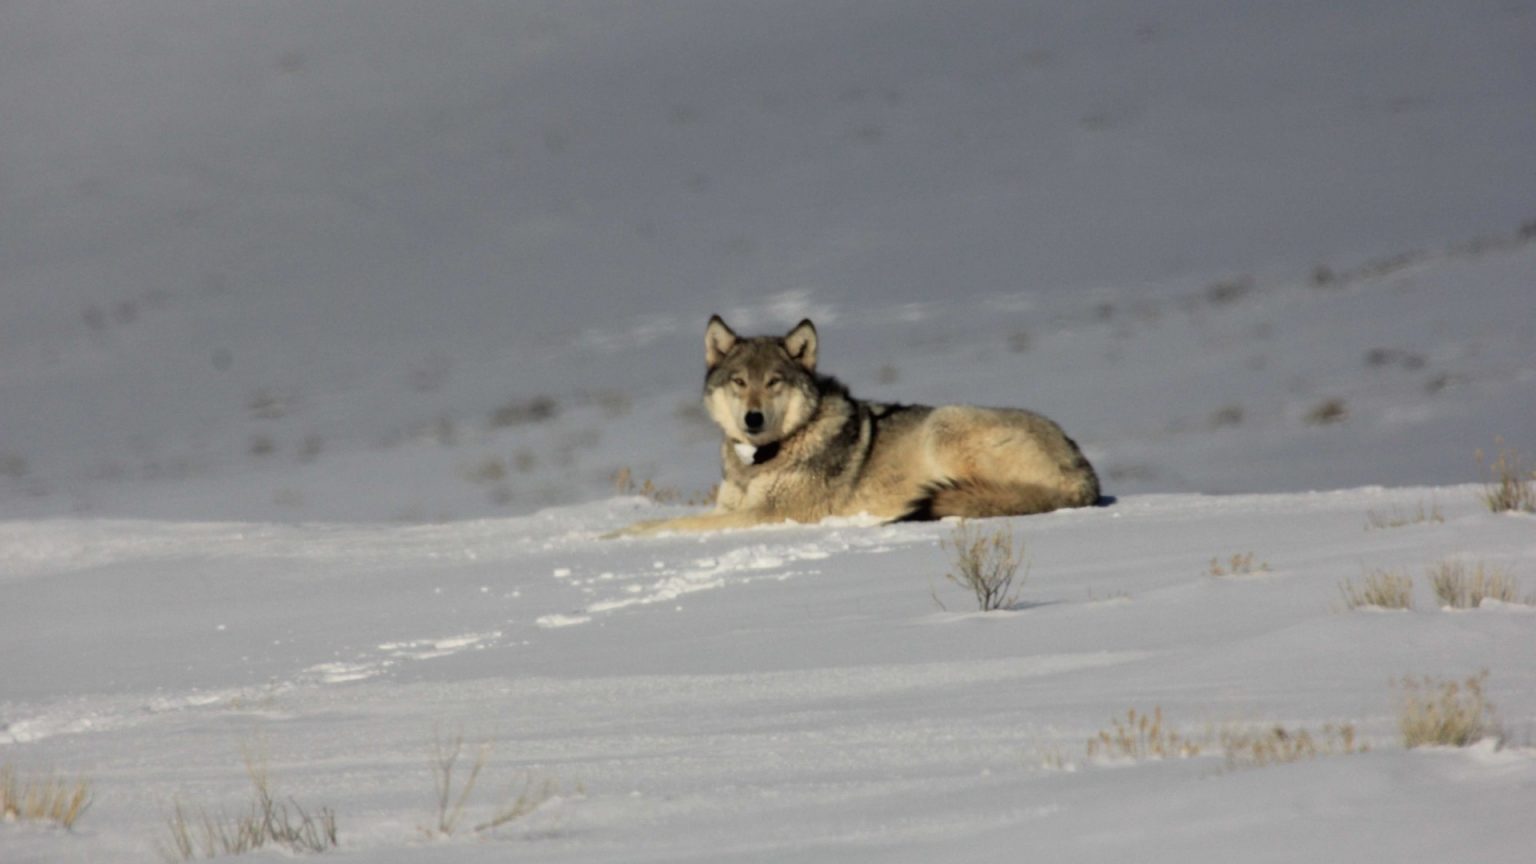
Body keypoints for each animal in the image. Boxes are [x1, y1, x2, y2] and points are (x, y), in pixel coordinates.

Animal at [614, 316, 1100, 536]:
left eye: (773, 382)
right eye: (739, 382)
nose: (753, 419)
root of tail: (1086, 475)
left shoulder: (771, 514)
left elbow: (664, 526)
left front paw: (612, 535)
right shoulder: (730, 507)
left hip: (944, 423)